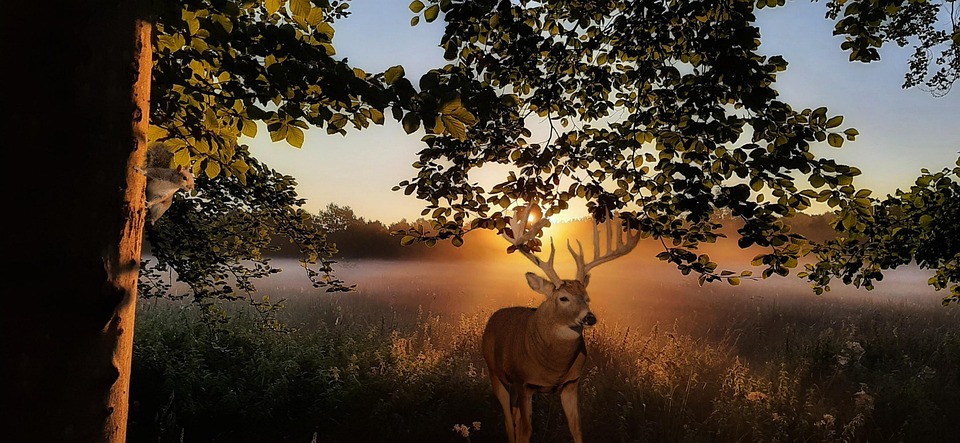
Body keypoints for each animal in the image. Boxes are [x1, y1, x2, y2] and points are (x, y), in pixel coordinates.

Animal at [481, 204, 641, 443]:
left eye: (587, 297)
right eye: (563, 298)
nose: (589, 318)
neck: (553, 367)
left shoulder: (571, 384)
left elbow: (577, 429)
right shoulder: (524, 382)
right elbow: (526, 432)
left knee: (515, 416)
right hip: (495, 373)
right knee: (510, 423)